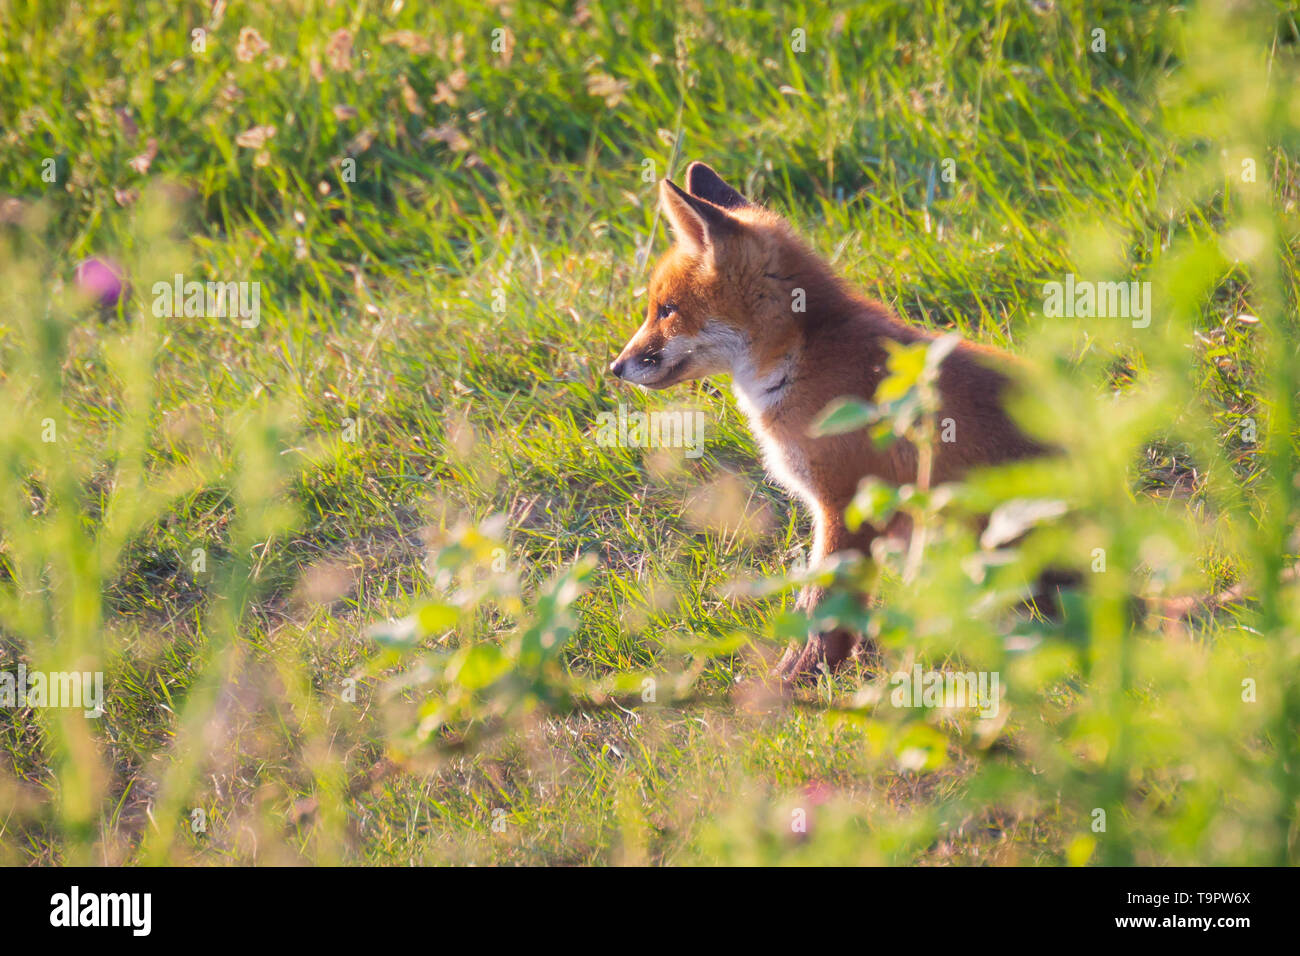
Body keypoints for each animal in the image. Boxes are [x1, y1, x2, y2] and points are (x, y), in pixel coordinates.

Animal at [609, 162, 1048, 681]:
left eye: (667, 310)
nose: (615, 367)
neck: (800, 356)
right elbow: (816, 606)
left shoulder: (846, 502)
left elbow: (825, 609)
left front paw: (798, 682)